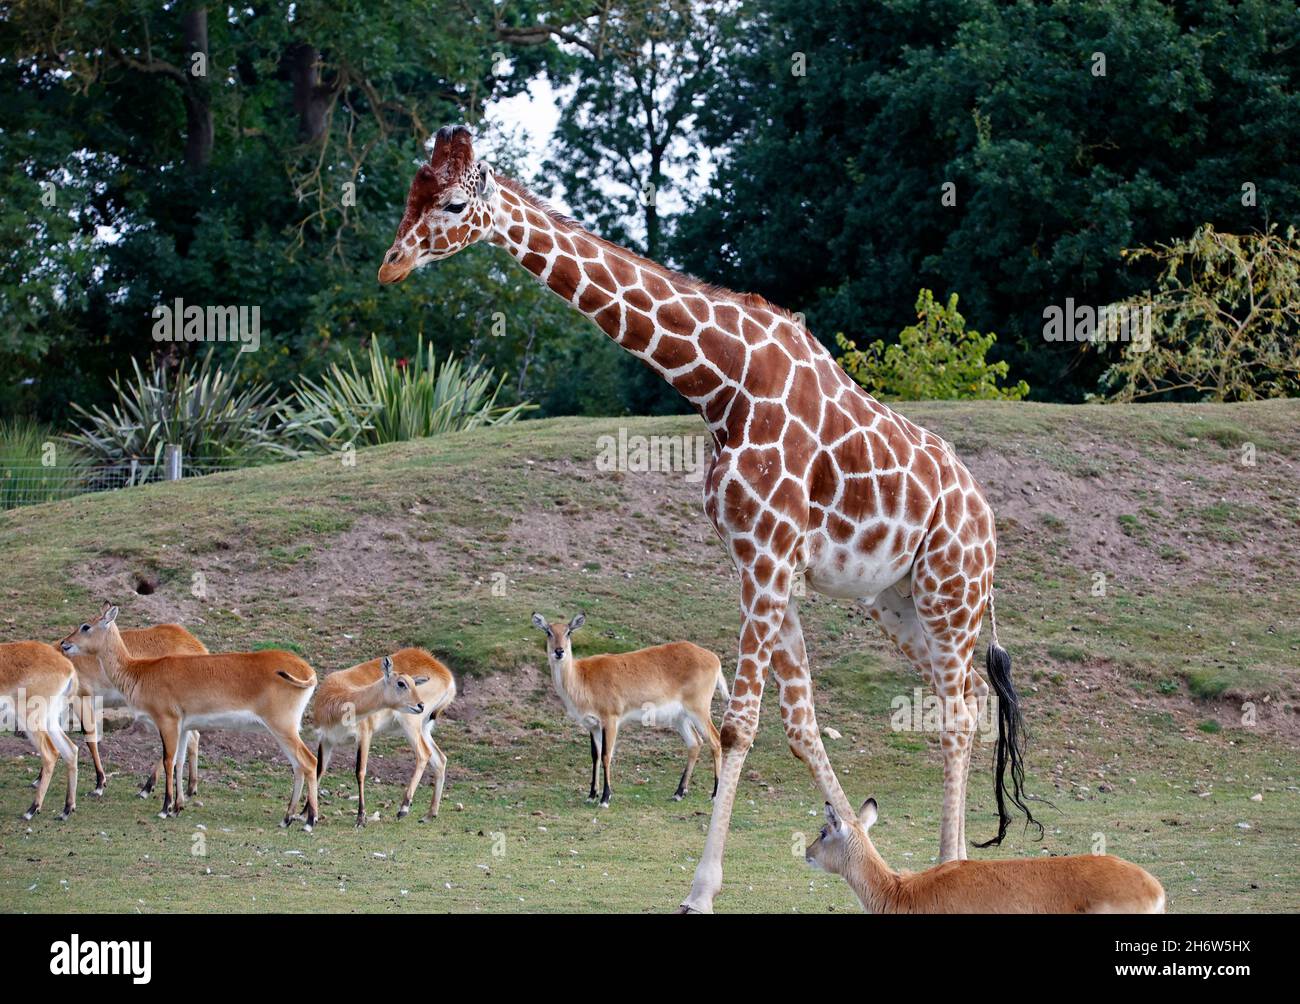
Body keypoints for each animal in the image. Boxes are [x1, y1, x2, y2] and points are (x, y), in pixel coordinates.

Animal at [379, 125, 1040, 913]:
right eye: (410, 191)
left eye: (452, 203)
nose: (390, 265)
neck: (721, 384)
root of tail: (988, 520)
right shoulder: (763, 562)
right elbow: (799, 726)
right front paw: (848, 838)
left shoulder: (768, 555)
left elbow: (736, 726)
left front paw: (700, 890)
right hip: (898, 603)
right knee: (966, 697)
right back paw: (953, 860)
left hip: (950, 591)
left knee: (959, 712)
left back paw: (951, 866)